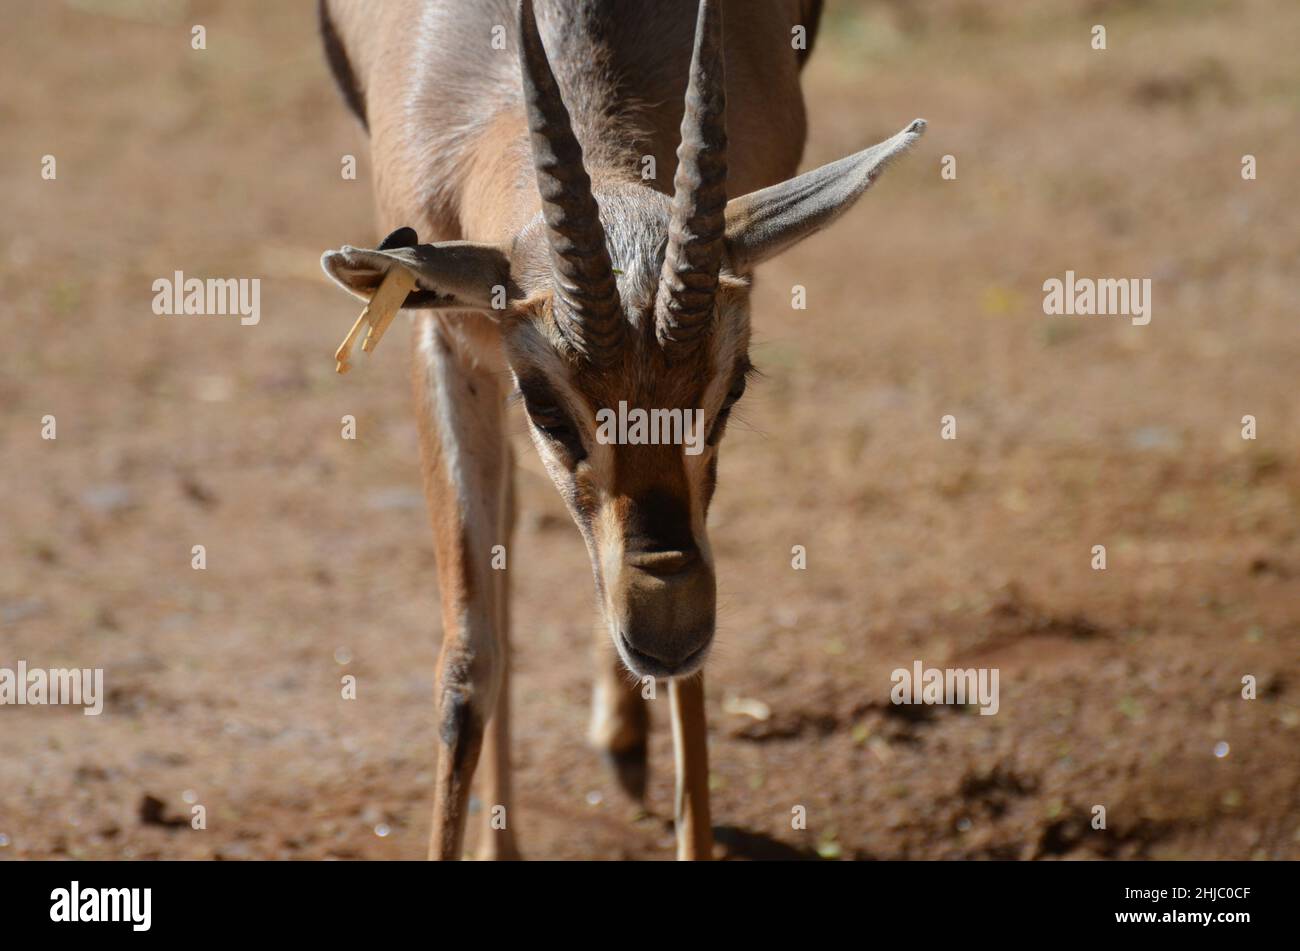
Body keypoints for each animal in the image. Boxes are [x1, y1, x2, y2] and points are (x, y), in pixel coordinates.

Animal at [318, 0, 924, 860]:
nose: (665, 627)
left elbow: (692, 682)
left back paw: (622, 740)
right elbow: (468, 660)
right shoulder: (443, 341)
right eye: (547, 406)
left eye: (733, 386)